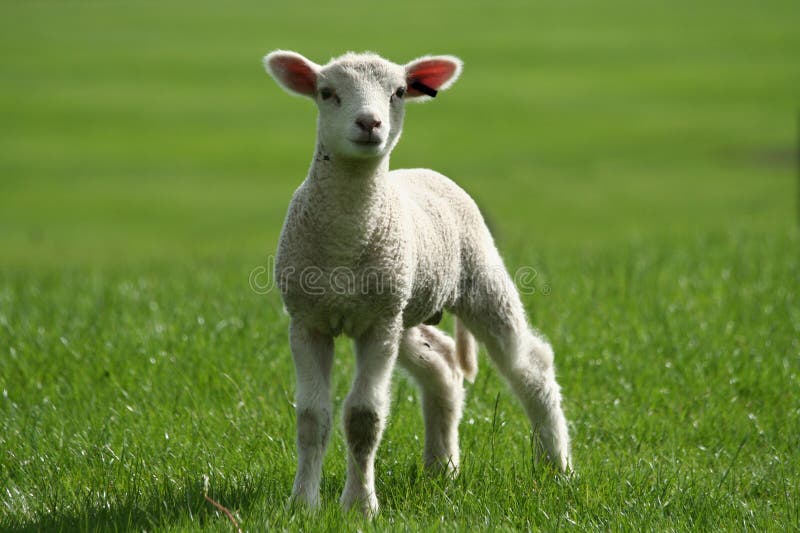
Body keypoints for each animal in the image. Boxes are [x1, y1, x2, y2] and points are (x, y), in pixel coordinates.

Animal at [263, 50, 571, 516]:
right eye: (326, 92)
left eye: (399, 91)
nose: (369, 123)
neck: (344, 244)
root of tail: (424, 172)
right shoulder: (308, 320)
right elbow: (312, 418)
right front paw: (303, 504)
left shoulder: (377, 325)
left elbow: (364, 417)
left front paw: (359, 506)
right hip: (405, 310)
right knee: (442, 366)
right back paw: (442, 467)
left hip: (476, 280)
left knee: (530, 363)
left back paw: (556, 467)